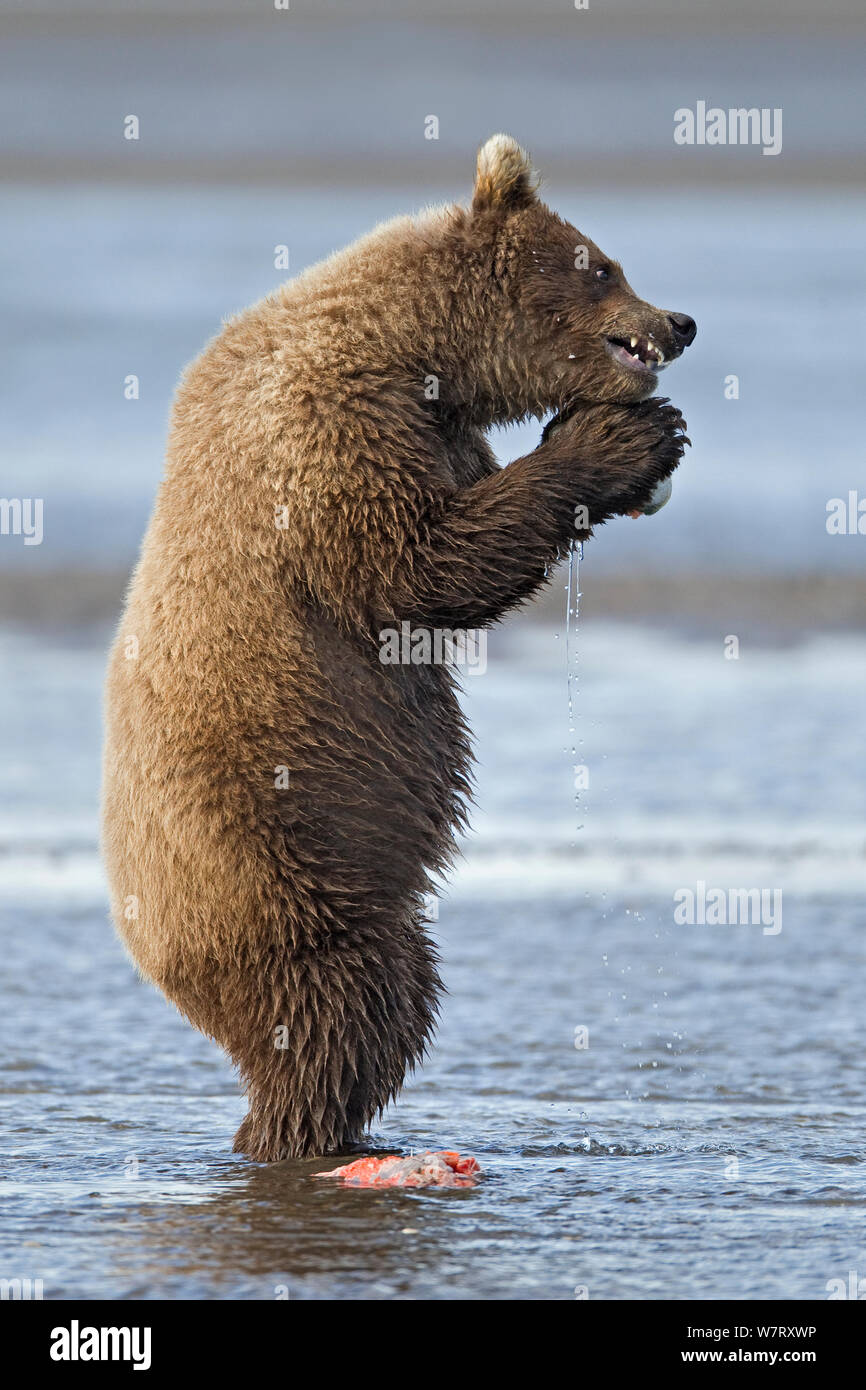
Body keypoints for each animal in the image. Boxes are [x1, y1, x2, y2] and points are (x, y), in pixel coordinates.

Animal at [101, 134, 694, 1161]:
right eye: (603, 266)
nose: (681, 320)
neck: (418, 356)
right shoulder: (327, 436)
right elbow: (422, 567)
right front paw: (619, 443)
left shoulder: (439, 433)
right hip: (275, 863)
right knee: (340, 1004)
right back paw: (311, 1135)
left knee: (394, 995)